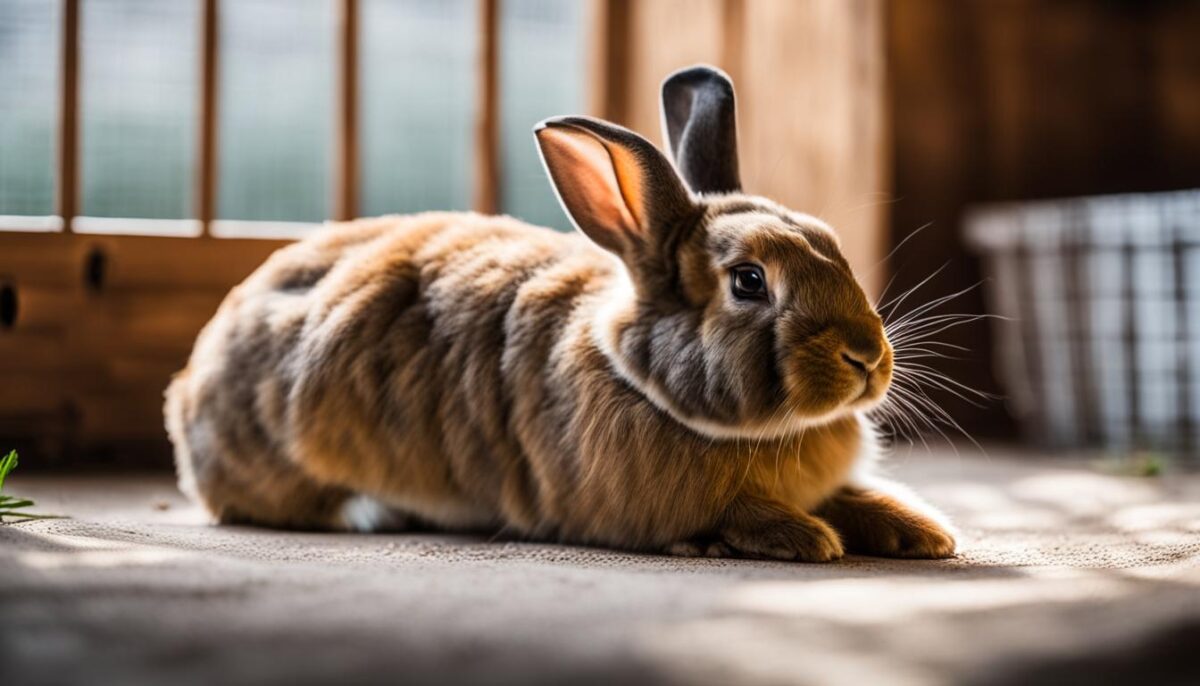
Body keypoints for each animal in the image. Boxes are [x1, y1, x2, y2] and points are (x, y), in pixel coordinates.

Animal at [164, 65, 956, 561]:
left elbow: (854, 497)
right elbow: (737, 516)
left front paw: (923, 533)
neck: (648, 385)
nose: (866, 357)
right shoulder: (664, 506)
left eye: (831, 244)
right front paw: (805, 540)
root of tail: (188, 390)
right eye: (749, 281)